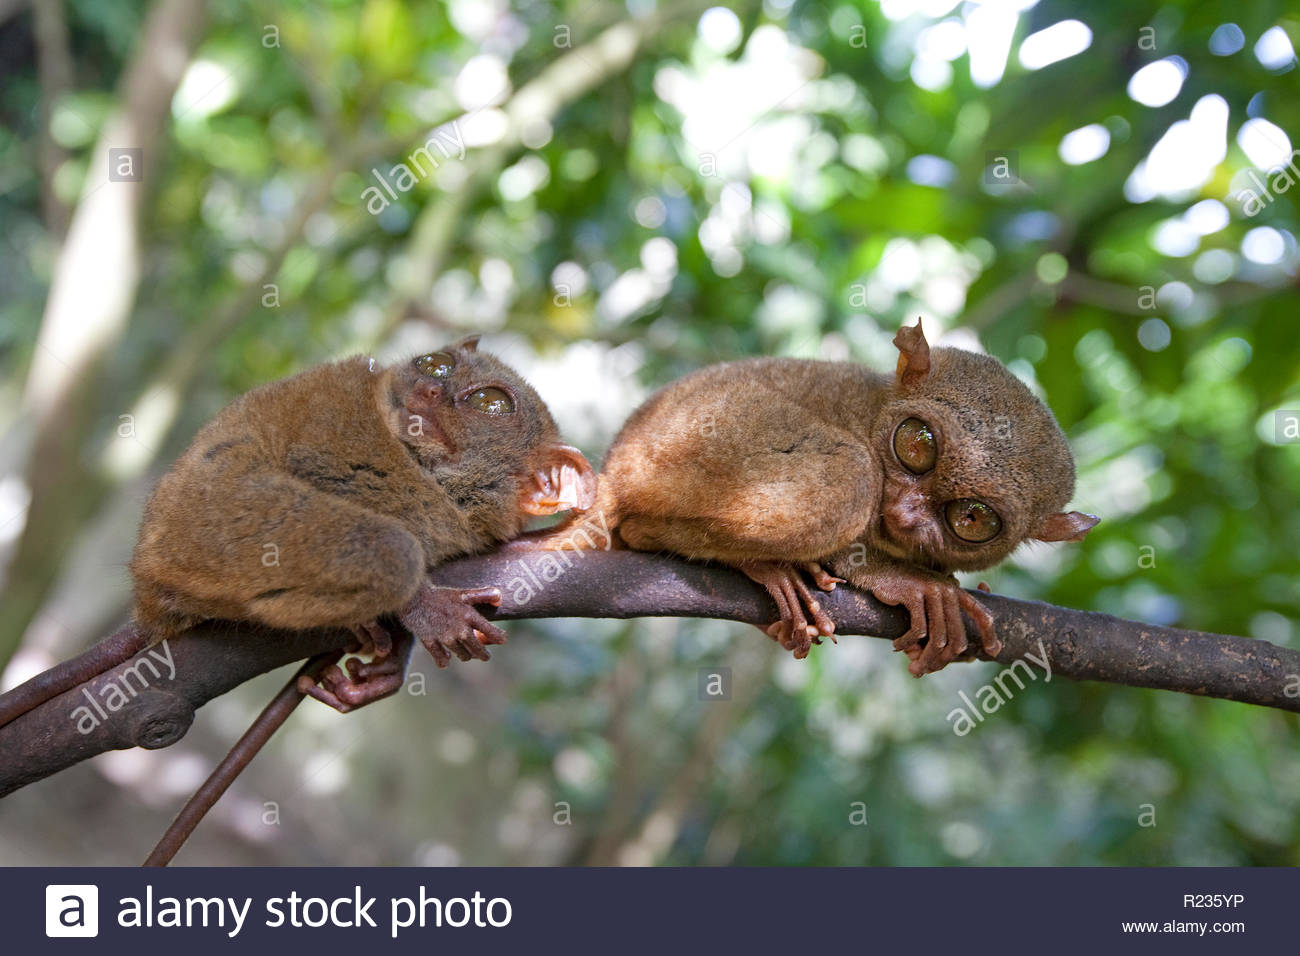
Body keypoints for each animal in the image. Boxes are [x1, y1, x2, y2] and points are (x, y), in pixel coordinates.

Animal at [0, 336, 594, 725]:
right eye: (437, 364)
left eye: (490, 404)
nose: (429, 386)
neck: (432, 480)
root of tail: (147, 598)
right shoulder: (345, 435)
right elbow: (326, 477)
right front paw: (428, 611)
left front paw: (391, 661)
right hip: (207, 528)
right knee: (393, 551)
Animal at [543, 319, 1097, 676]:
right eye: (916, 445)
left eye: (974, 519)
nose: (906, 515)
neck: (869, 410)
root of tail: (614, 471)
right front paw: (917, 585)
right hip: (683, 446)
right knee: (852, 472)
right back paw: (760, 565)